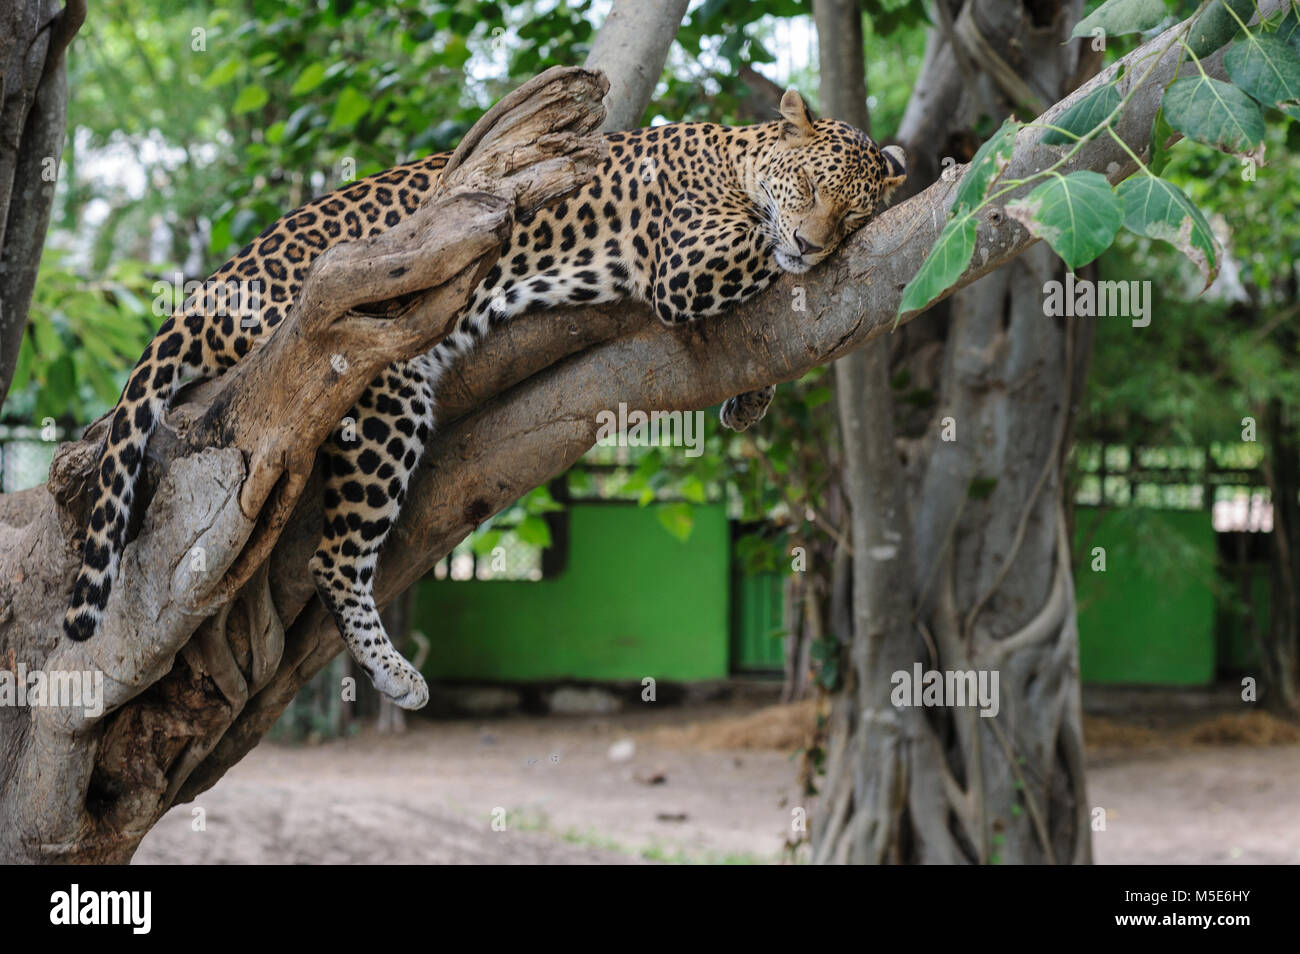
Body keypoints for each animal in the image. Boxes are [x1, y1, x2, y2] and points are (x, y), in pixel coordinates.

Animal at [62, 87, 906, 709]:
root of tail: (223, 275)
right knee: (335, 558)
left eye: (852, 216)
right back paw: (396, 674)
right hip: (376, 382)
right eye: (810, 188)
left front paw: (752, 397)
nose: (815, 243)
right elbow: (759, 252)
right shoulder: (684, 262)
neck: (737, 154)